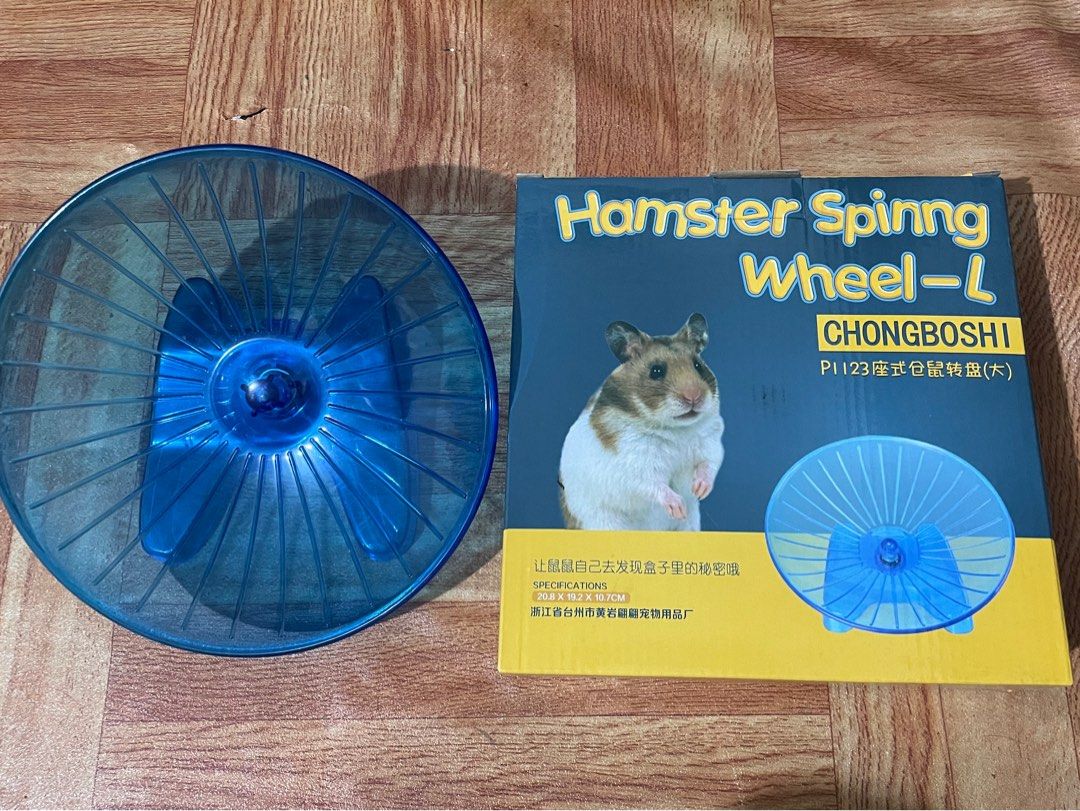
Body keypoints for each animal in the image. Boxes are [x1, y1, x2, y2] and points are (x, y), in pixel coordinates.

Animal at [558, 313, 725, 531]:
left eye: (698, 366)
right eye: (656, 371)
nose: (694, 397)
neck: (677, 430)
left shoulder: (710, 442)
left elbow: (708, 464)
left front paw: (700, 491)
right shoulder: (636, 463)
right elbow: (654, 485)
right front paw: (678, 507)